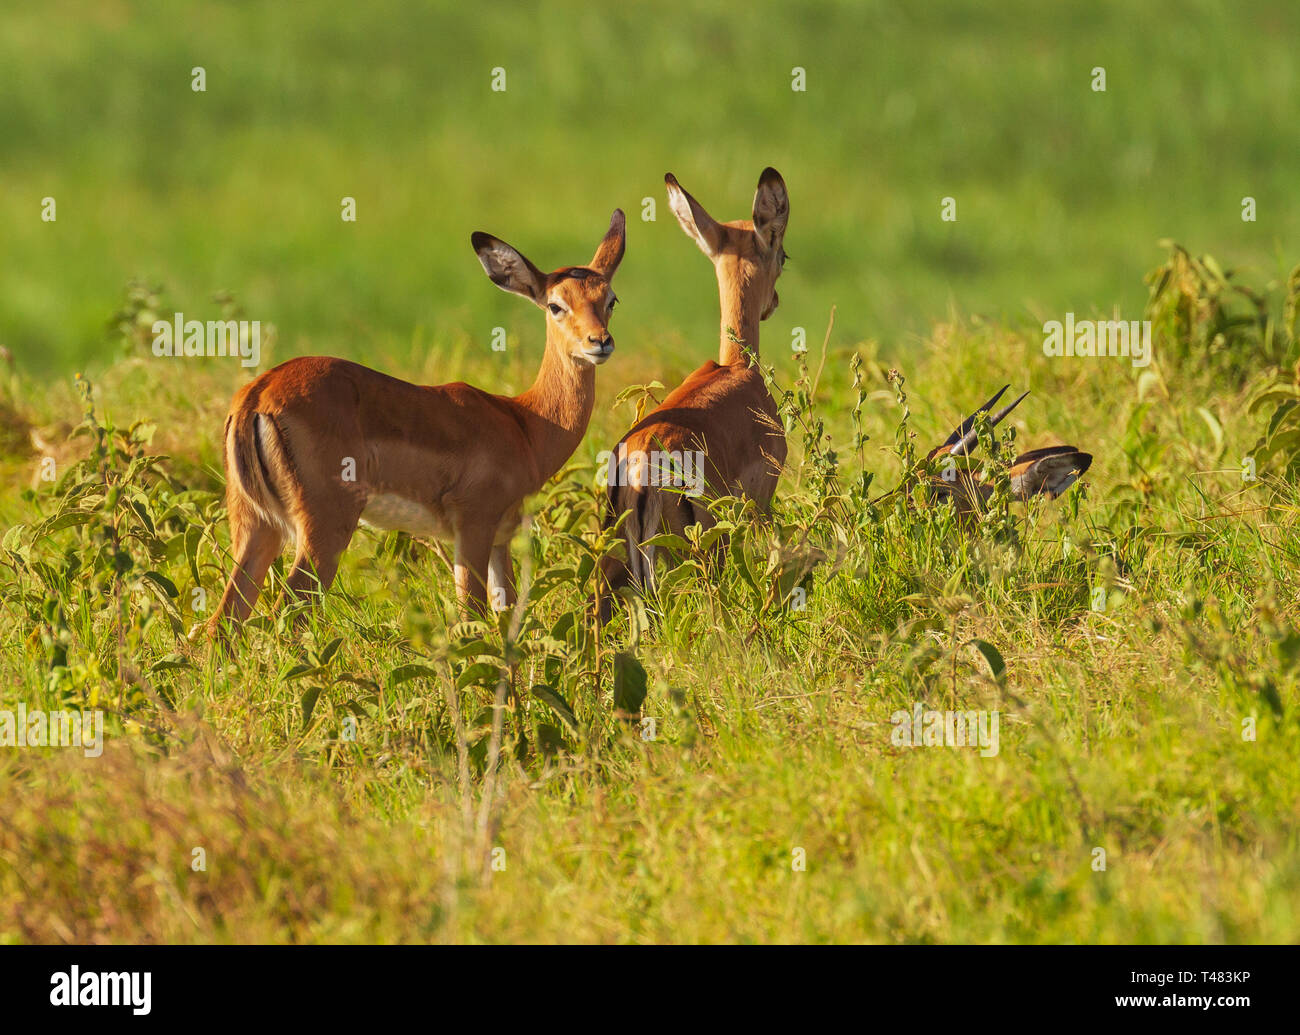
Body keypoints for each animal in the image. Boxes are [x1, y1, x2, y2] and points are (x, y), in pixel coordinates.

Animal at [206, 209, 626, 638]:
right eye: (556, 305)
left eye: (610, 299)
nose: (599, 342)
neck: (525, 422)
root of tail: (256, 396)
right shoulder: (473, 526)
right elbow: (471, 616)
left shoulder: (501, 539)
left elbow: (507, 615)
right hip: (324, 528)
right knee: (287, 613)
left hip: (257, 525)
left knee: (221, 623)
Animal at [598, 168, 789, 621]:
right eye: (783, 255)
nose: (773, 301)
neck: (737, 366)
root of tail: (639, 468)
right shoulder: (762, 506)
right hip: (702, 556)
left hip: (615, 570)